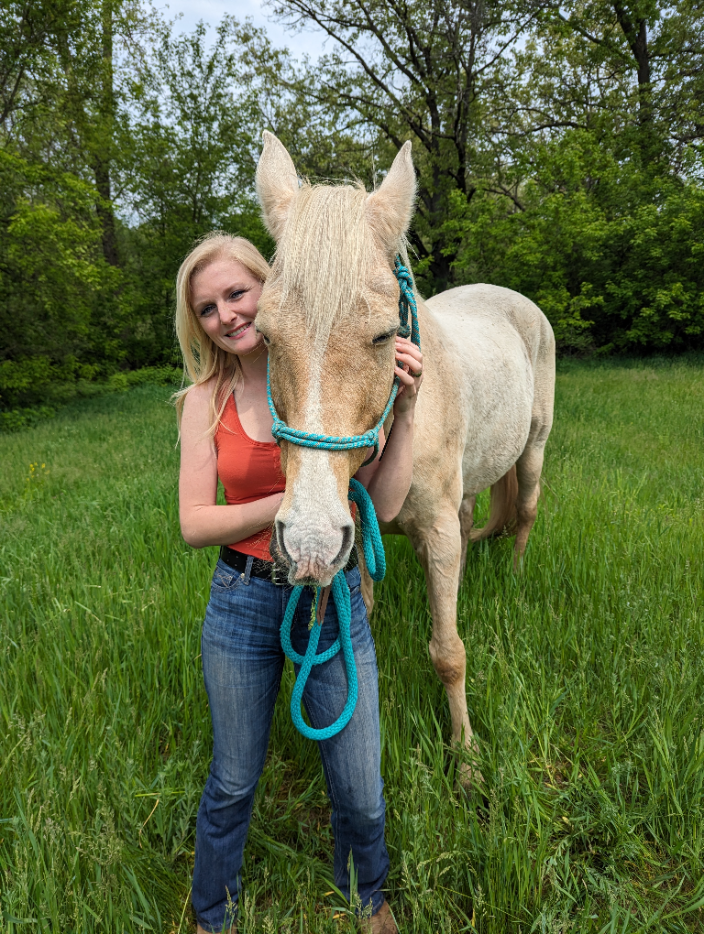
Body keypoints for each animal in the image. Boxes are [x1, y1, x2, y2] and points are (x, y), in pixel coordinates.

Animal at [254, 131, 555, 775]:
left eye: (384, 334)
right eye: (264, 335)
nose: (308, 540)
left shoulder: (433, 532)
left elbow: (449, 652)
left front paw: (465, 760)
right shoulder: (354, 537)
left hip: (534, 451)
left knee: (524, 512)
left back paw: (515, 575)